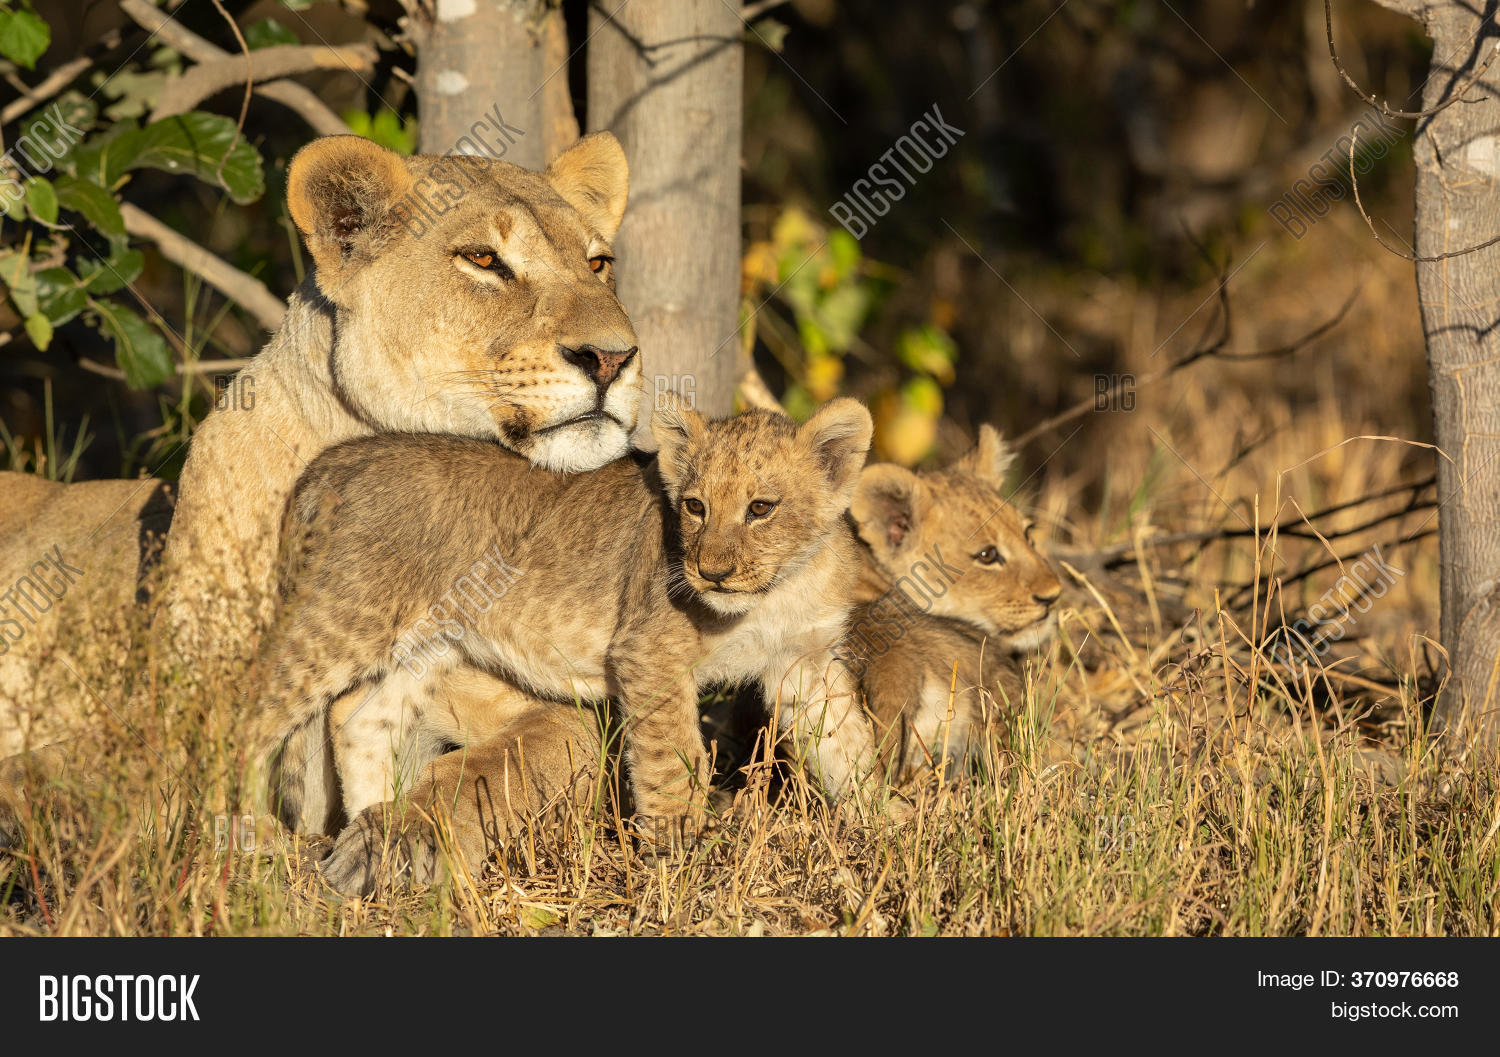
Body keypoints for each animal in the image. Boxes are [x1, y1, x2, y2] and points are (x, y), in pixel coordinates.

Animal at [260, 398, 879, 895]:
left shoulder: (805, 664)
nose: (712, 572)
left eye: (761, 508)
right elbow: (671, 764)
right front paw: (675, 865)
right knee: (246, 706)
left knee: (357, 718)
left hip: (425, 644)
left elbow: (848, 746)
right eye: (695, 506)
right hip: (340, 618)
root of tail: (331, 460)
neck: (780, 590)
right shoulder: (648, 651)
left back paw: (374, 827)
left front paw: (884, 826)